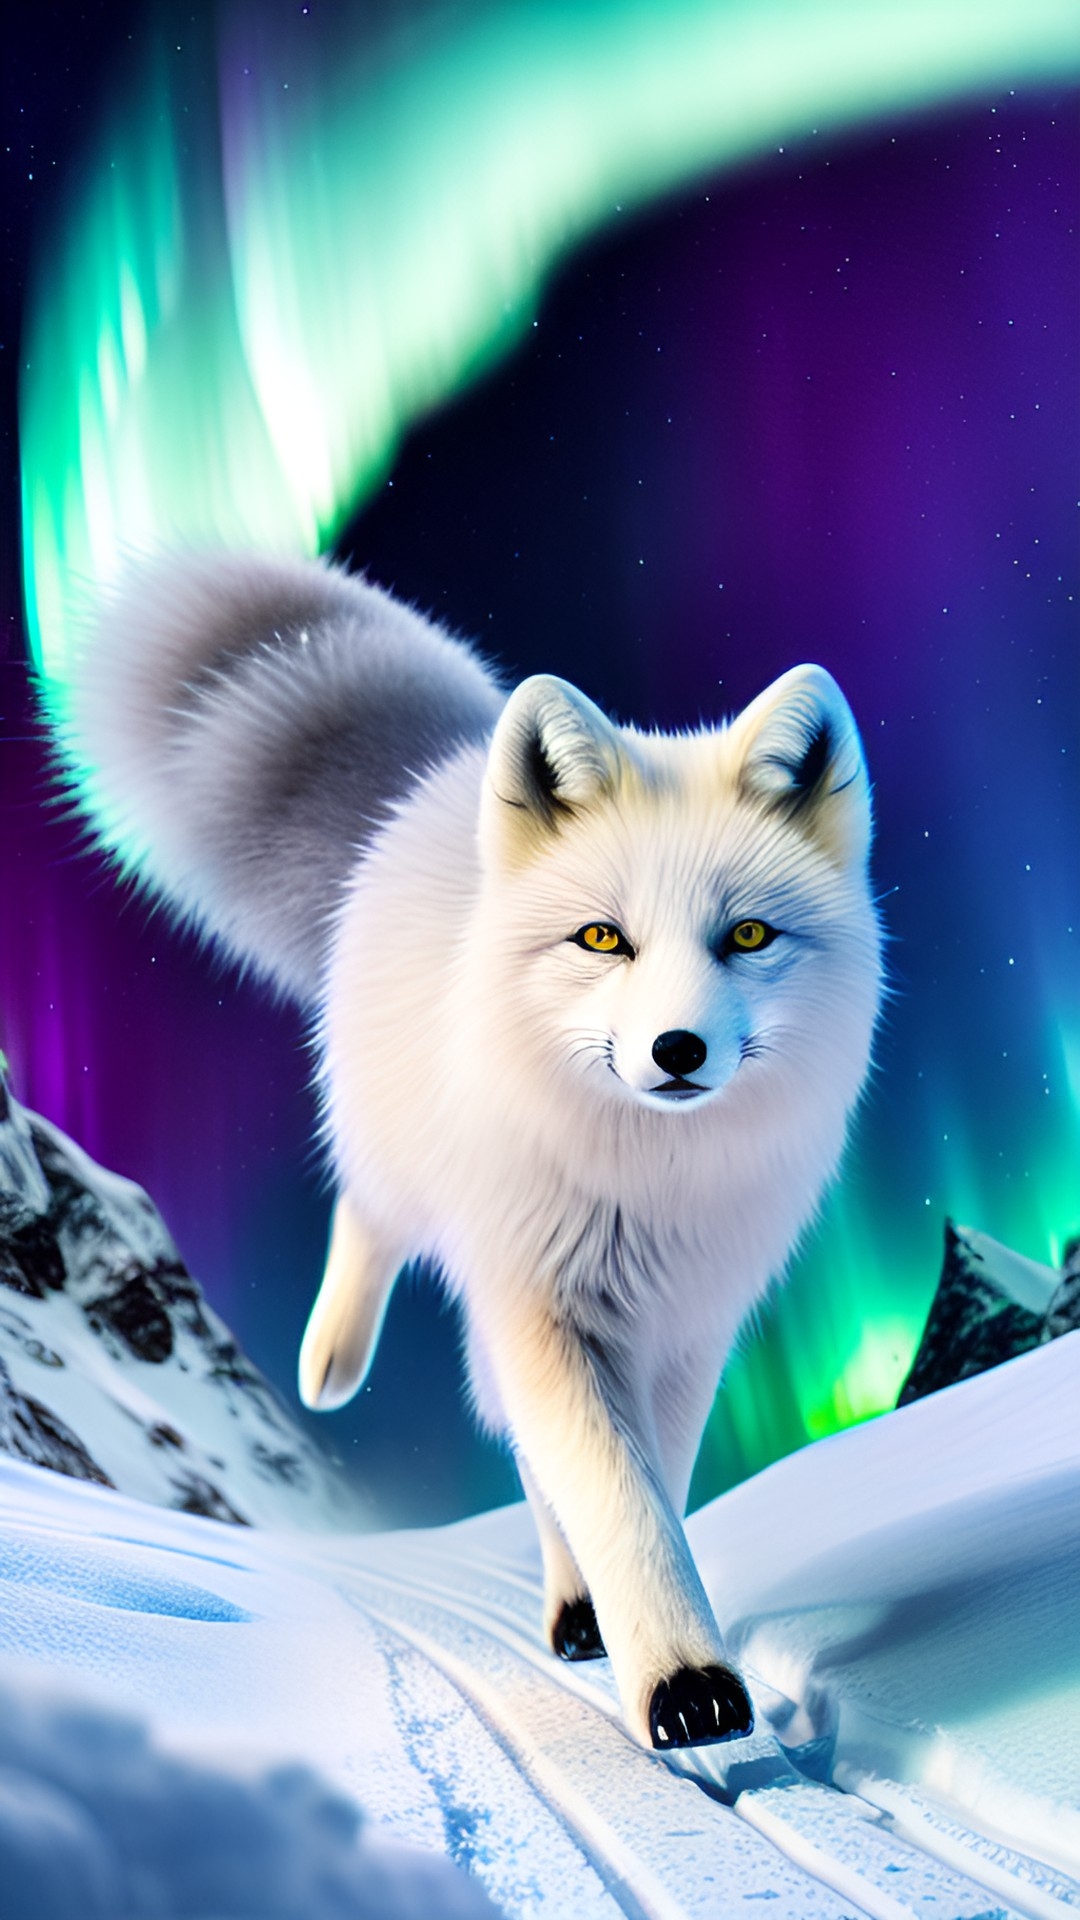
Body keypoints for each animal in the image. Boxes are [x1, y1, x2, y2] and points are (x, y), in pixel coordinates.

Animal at [63, 548, 883, 1751]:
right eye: (603, 939)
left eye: (747, 936)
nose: (676, 1051)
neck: (645, 1182)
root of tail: (437, 780)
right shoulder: (544, 1304)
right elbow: (618, 1495)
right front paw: (685, 1684)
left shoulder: (689, 1325)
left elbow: (648, 1479)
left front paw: (643, 1639)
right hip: (414, 1187)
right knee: (368, 1216)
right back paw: (328, 1362)